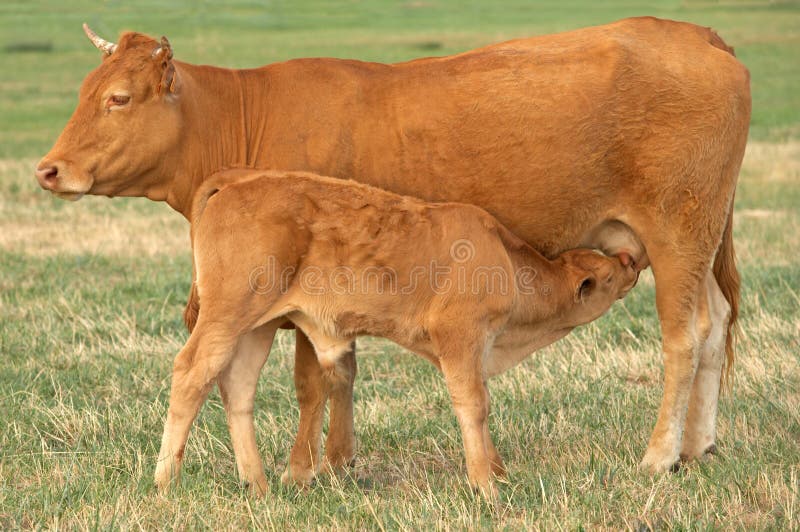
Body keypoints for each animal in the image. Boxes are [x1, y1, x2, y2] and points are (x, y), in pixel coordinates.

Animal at [156, 168, 642, 497]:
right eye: (608, 272)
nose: (631, 262)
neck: (503, 259)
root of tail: (237, 183)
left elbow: (481, 402)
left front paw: (498, 472)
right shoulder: (459, 340)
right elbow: (474, 404)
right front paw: (485, 484)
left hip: (257, 327)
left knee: (236, 385)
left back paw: (258, 485)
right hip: (226, 316)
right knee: (190, 373)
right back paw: (165, 480)